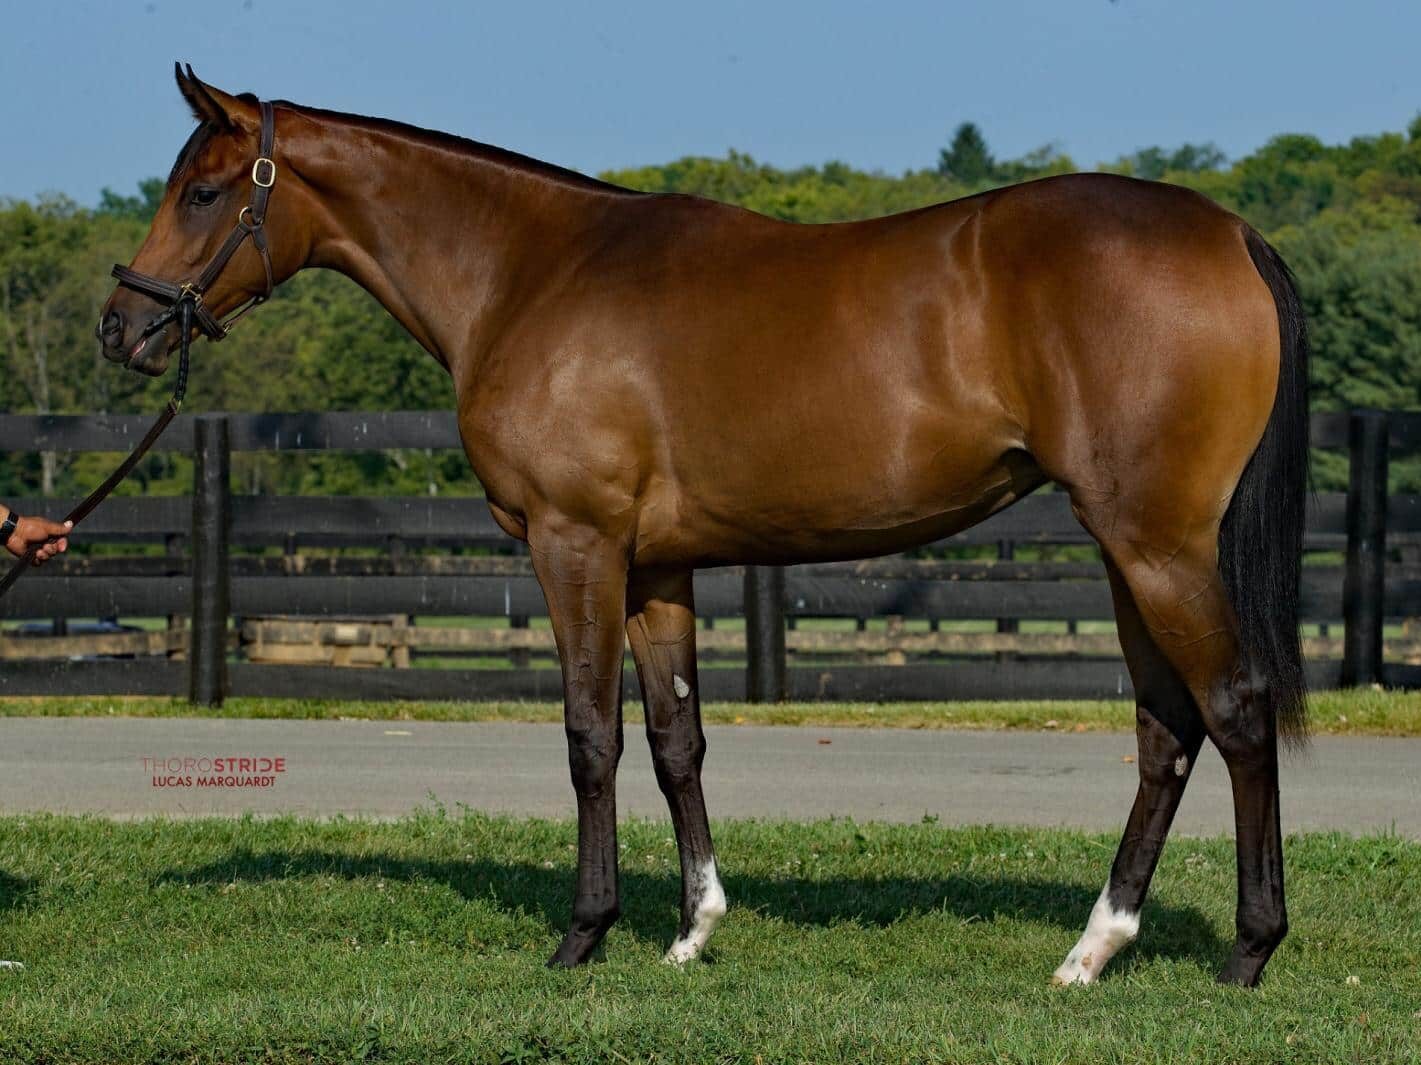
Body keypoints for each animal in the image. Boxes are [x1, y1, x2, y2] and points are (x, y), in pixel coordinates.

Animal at [99, 65, 1308, 987]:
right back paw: (1091, 951)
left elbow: (591, 737)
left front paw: (583, 933)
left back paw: (1249, 950)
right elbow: (676, 738)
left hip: (1155, 546)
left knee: (1233, 710)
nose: (121, 326)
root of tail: (1231, 234)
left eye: (204, 191)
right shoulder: (655, 570)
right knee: (1165, 731)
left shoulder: (574, 544)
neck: (530, 273)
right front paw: (691, 930)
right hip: (1125, 549)